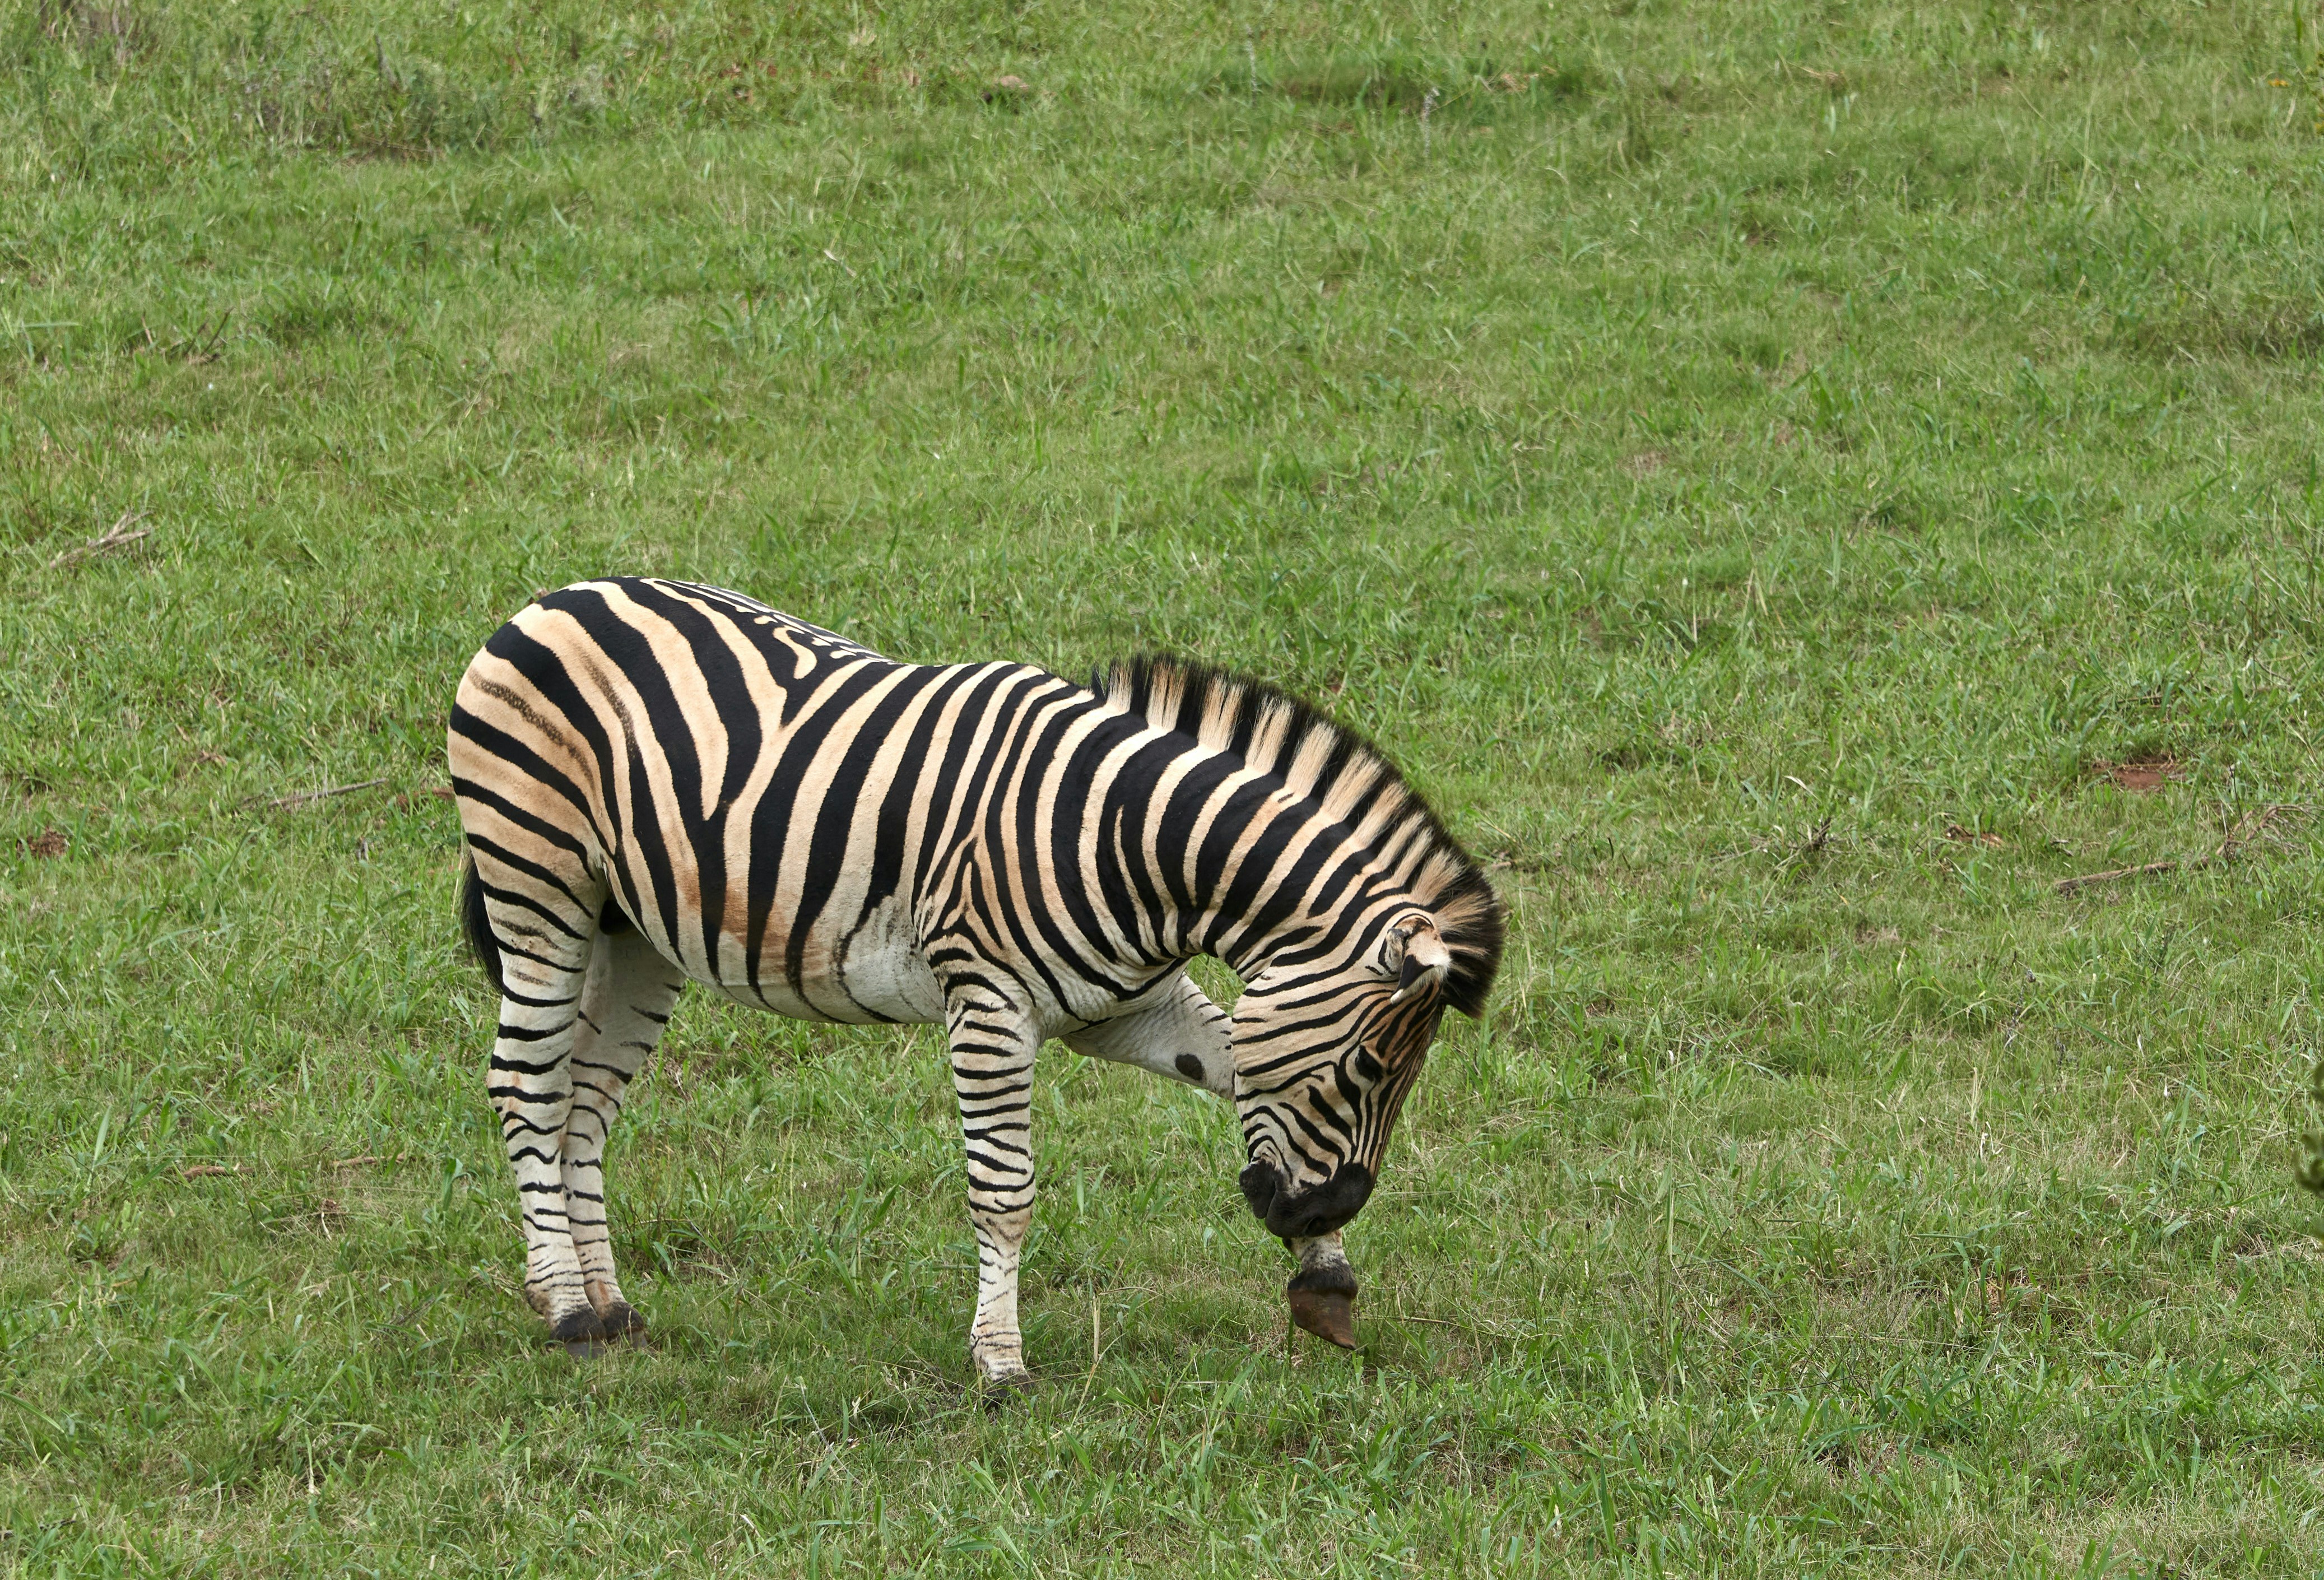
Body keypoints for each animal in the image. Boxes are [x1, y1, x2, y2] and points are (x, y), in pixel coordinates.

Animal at [448, 577, 1502, 1382]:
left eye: (1398, 1080)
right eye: (1370, 1070)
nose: (1314, 1214)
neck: (1130, 843)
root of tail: (558, 598)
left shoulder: (1126, 1009)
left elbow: (1241, 1075)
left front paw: (1324, 1277)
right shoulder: (988, 1004)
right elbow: (1005, 1191)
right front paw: (999, 1361)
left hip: (633, 931)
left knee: (584, 1101)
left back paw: (606, 1301)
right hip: (538, 884)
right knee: (526, 1087)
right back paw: (566, 1310)